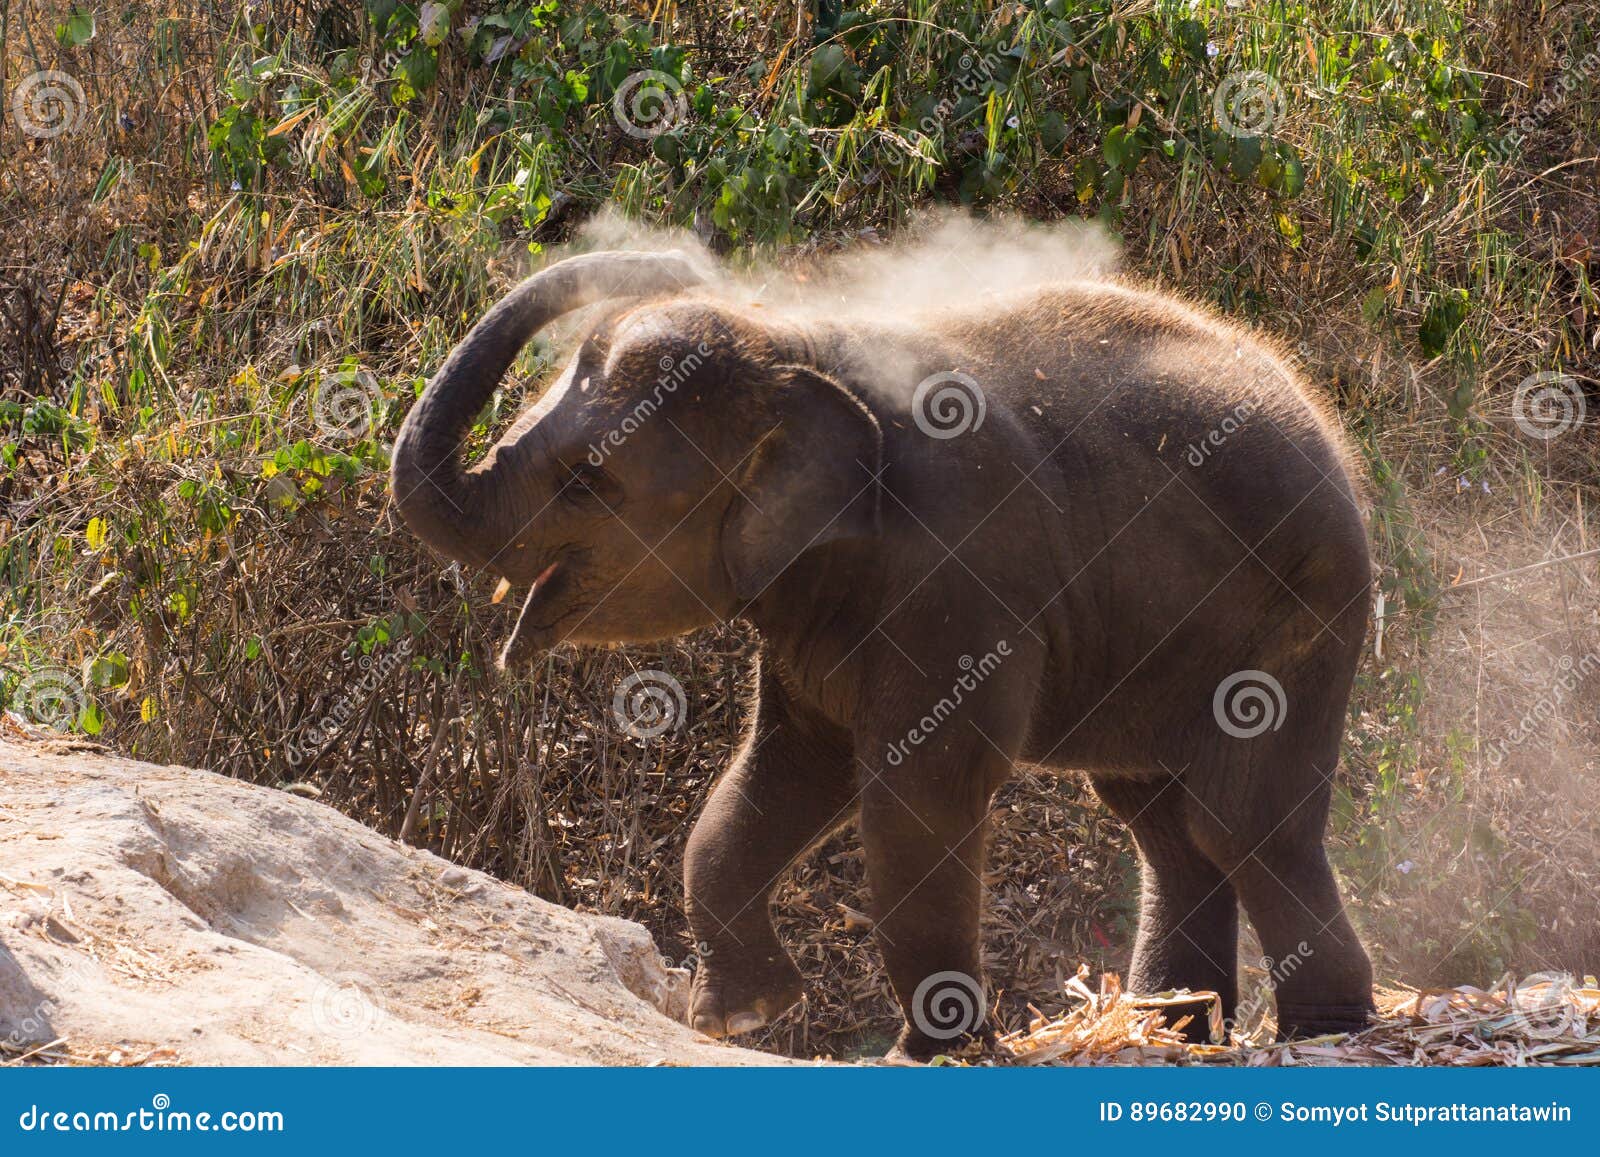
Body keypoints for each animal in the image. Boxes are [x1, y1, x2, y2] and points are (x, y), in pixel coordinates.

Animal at [391, 248, 1376, 1058]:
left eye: (589, 481)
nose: (672, 253)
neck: (797, 347)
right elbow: (787, 768)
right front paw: (742, 1017)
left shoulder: (957, 575)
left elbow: (915, 791)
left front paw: (925, 1054)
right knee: (1162, 823)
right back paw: (1168, 1030)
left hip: (1301, 613)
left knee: (1241, 821)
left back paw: (1323, 1032)